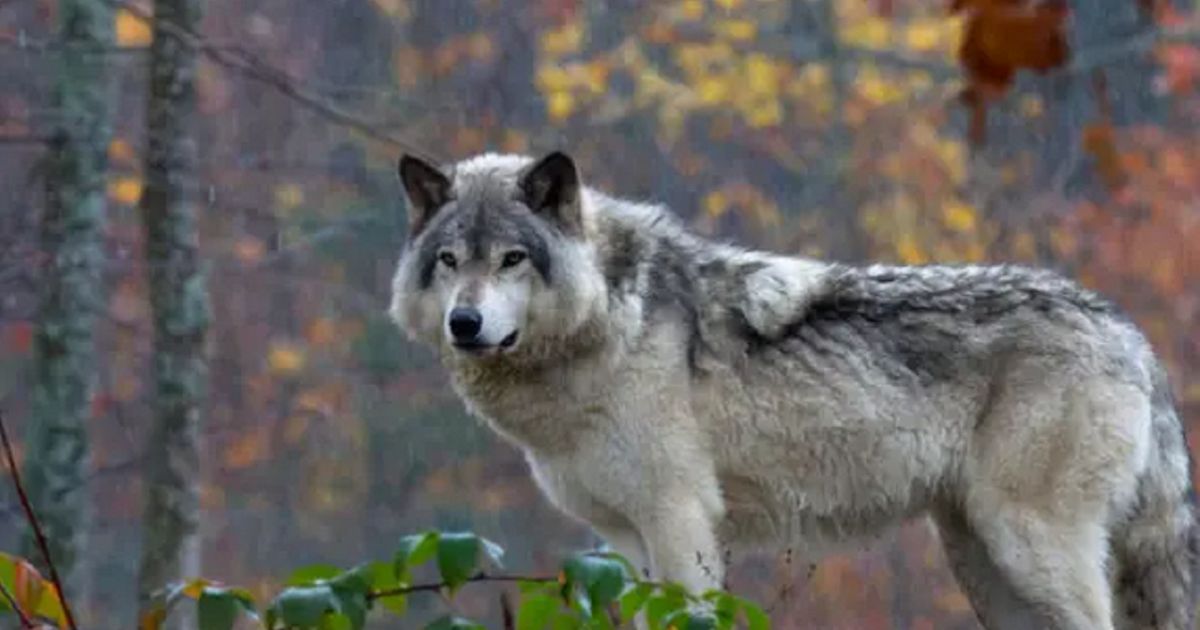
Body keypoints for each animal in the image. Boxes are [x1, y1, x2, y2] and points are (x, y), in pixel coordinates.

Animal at [387, 150, 1199, 629]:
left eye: (513, 260)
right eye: (450, 261)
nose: (465, 323)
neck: (610, 322)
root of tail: (1132, 335)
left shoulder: (680, 518)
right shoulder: (623, 538)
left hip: (1032, 548)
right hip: (985, 566)